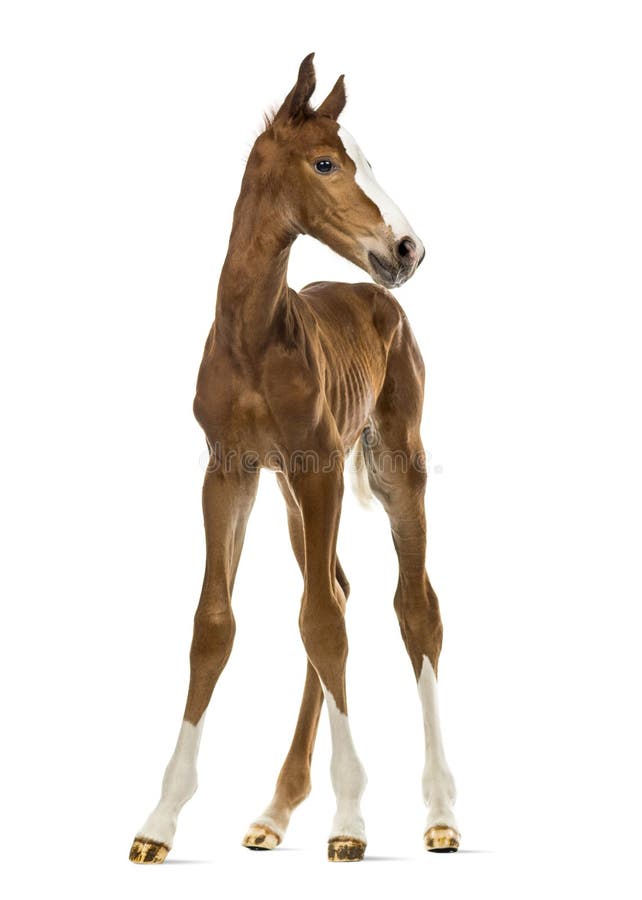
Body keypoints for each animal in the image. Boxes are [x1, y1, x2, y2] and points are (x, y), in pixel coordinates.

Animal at [129, 52, 459, 864]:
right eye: (327, 163)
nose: (407, 250)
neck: (254, 338)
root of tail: (378, 299)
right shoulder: (229, 471)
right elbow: (217, 625)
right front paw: (160, 820)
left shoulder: (318, 466)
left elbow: (325, 625)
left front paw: (349, 822)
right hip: (291, 495)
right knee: (333, 587)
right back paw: (275, 811)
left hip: (393, 465)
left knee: (416, 608)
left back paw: (440, 813)